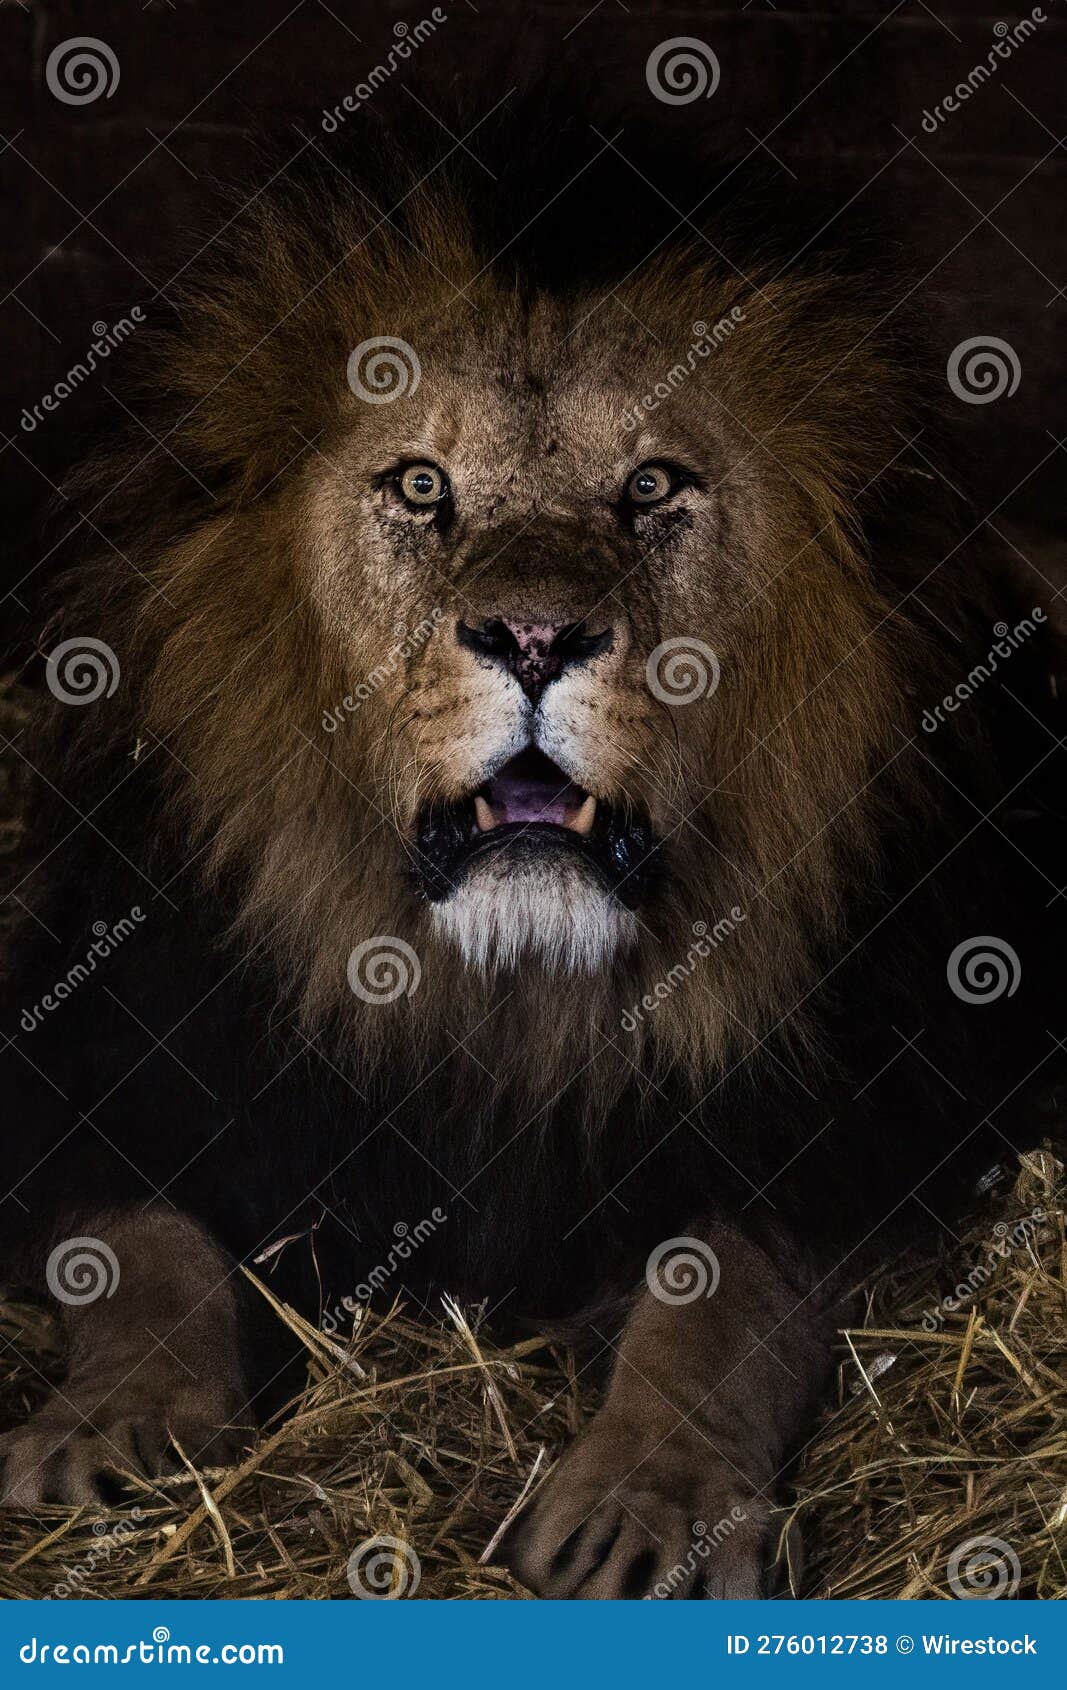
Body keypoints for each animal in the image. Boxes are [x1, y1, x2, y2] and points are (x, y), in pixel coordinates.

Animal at [1, 98, 1063, 1599]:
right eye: (419, 486)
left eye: (653, 487)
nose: (533, 635)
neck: (499, 995)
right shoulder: (96, 1067)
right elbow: (141, 1245)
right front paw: (106, 1431)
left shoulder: (863, 1123)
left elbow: (724, 1283)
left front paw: (648, 1502)